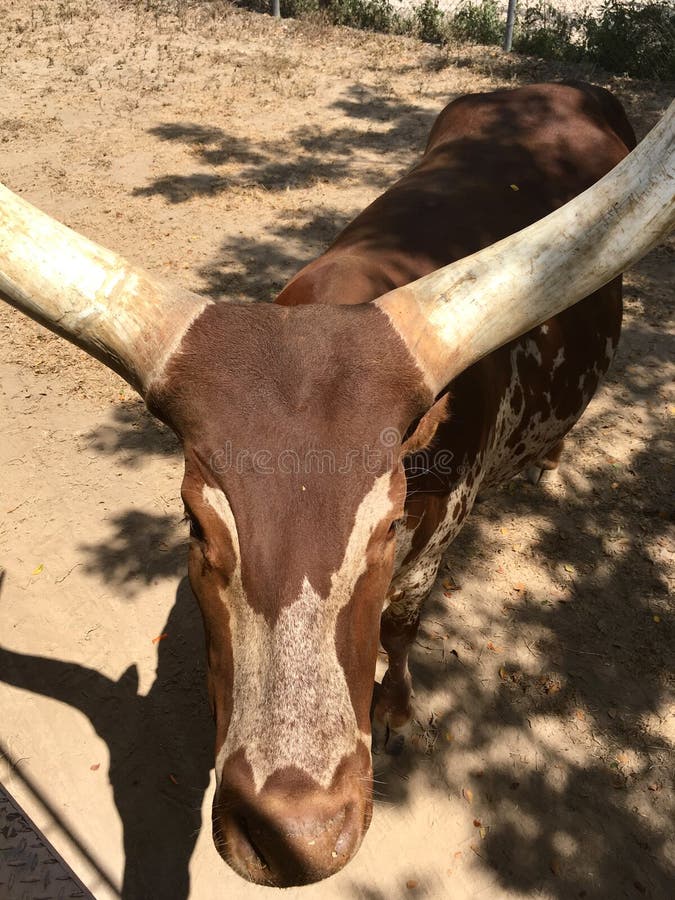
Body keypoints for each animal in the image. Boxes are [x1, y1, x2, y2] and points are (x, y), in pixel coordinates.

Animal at [0, 82, 673, 888]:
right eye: (196, 524)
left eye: (385, 527)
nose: (298, 837)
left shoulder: (438, 530)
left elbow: (401, 620)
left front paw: (395, 710)